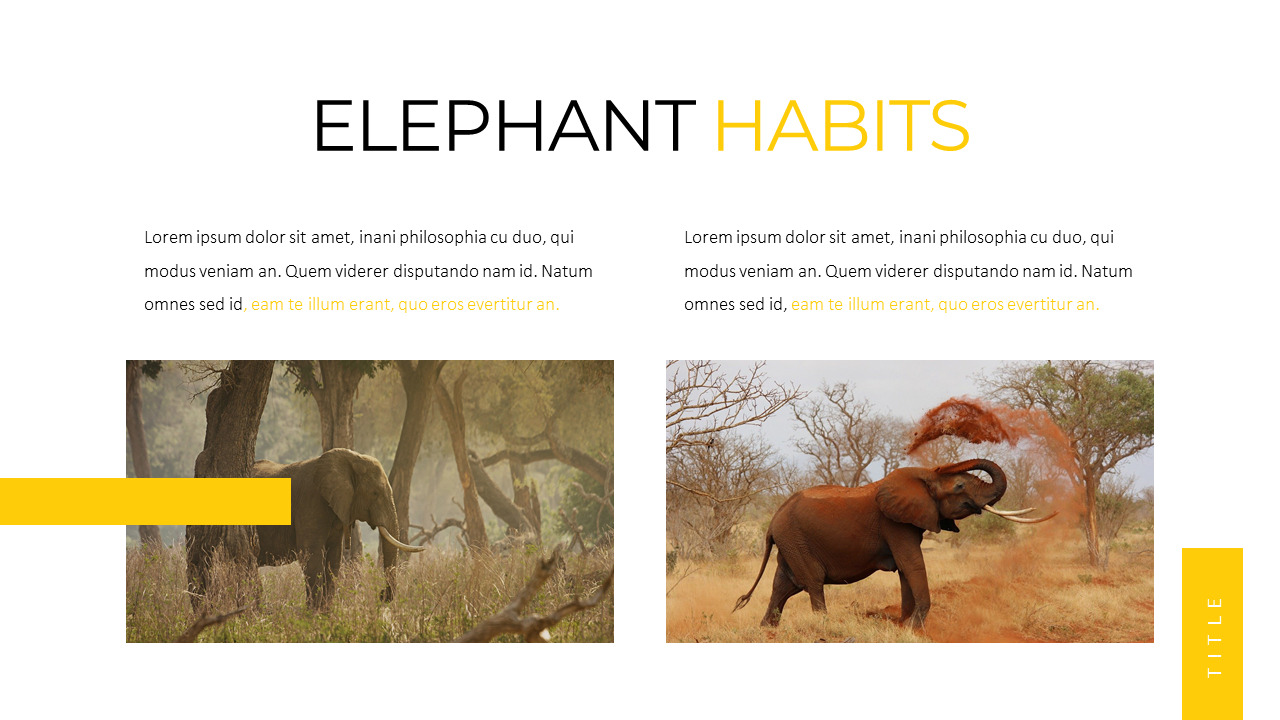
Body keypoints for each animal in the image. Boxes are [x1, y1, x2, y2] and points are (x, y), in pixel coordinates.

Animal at [186, 448, 426, 611]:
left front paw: (326, 613)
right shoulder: (311, 502)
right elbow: (312, 556)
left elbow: (334, 558)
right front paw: (314, 614)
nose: (382, 595)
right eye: (375, 493)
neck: (349, 459)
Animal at [733, 458, 1056, 629]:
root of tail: (773, 520)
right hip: (796, 539)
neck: (924, 476)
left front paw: (904, 625)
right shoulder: (895, 524)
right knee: (811, 582)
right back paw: (823, 626)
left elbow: (905, 569)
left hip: (790, 542)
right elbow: (912, 564)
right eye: (960, 486)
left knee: (783, 585)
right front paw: (914, 627)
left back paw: (767, 630)